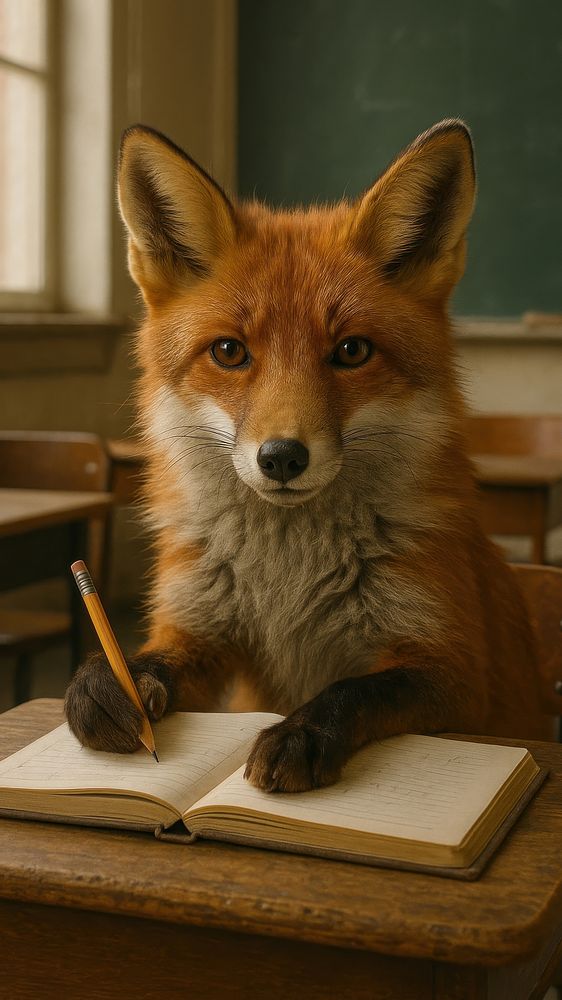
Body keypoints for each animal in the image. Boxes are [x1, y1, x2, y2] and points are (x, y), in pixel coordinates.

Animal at [65, 118, 549, 792]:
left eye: (351, 351)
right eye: (229, 352)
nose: (282, 458)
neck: (288, 579)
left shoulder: (454, 670)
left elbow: (354, 691)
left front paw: (301, 733)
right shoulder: (202, 634)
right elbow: (150, 659)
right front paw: (109, 684)